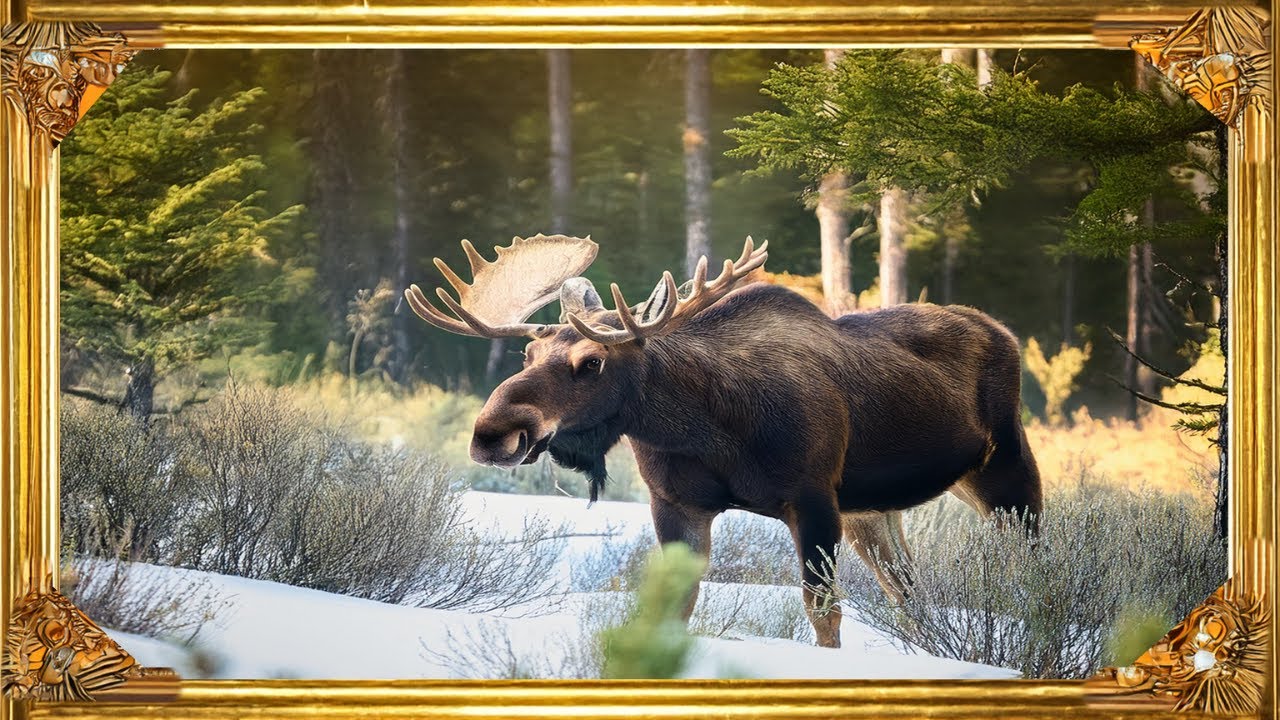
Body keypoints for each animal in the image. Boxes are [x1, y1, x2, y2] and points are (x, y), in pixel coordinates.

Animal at [405, 233, 1042, 649]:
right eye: (528, 352)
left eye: (592, 361)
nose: (493, 433)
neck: (707, 428)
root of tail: (1005, 333)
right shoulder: (677, 505)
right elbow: (675, 610)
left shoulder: (813, 498)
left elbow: (825, 616)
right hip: (874, 511)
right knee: (909, 594)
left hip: (1006, 470)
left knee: (1032, 572)